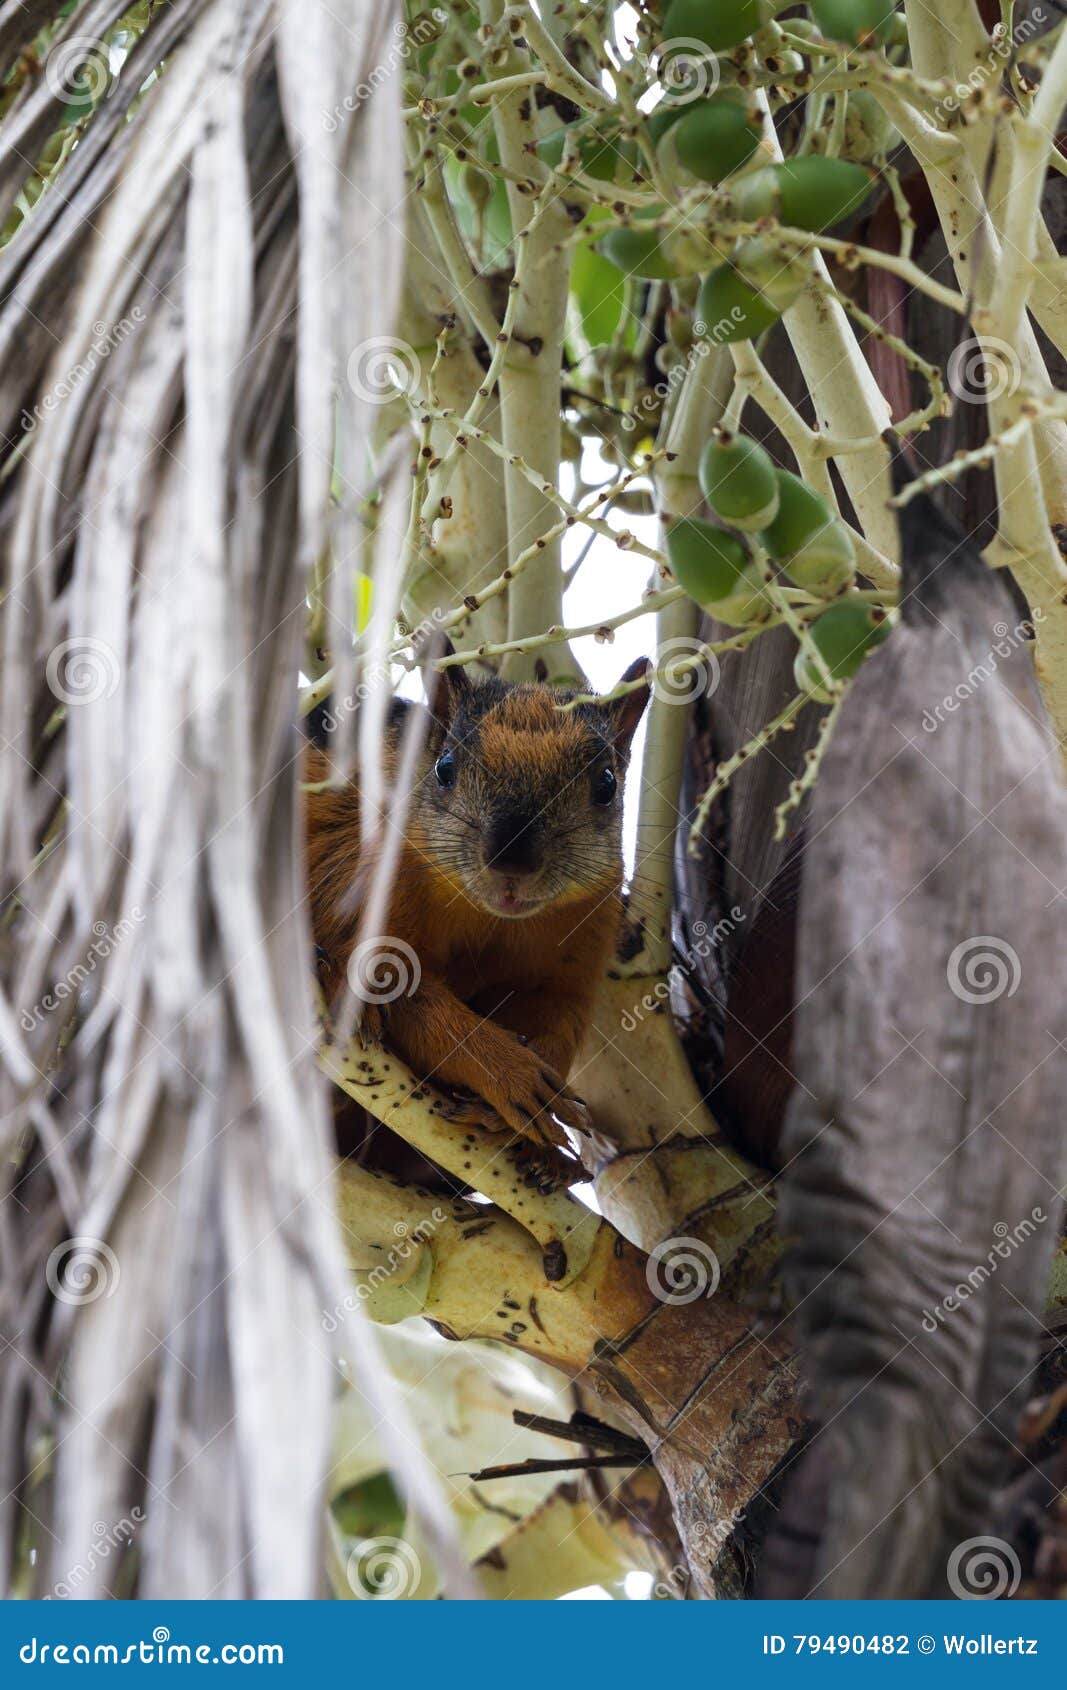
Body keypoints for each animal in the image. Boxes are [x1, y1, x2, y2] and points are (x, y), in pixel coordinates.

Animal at [305, 645, 650, 1153]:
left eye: (606, 784)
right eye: (444, 768)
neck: (492, 921)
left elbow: (560, 1021)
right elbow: (415, 1001)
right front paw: (513, 1075)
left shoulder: (584, 938)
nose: (513, 864)